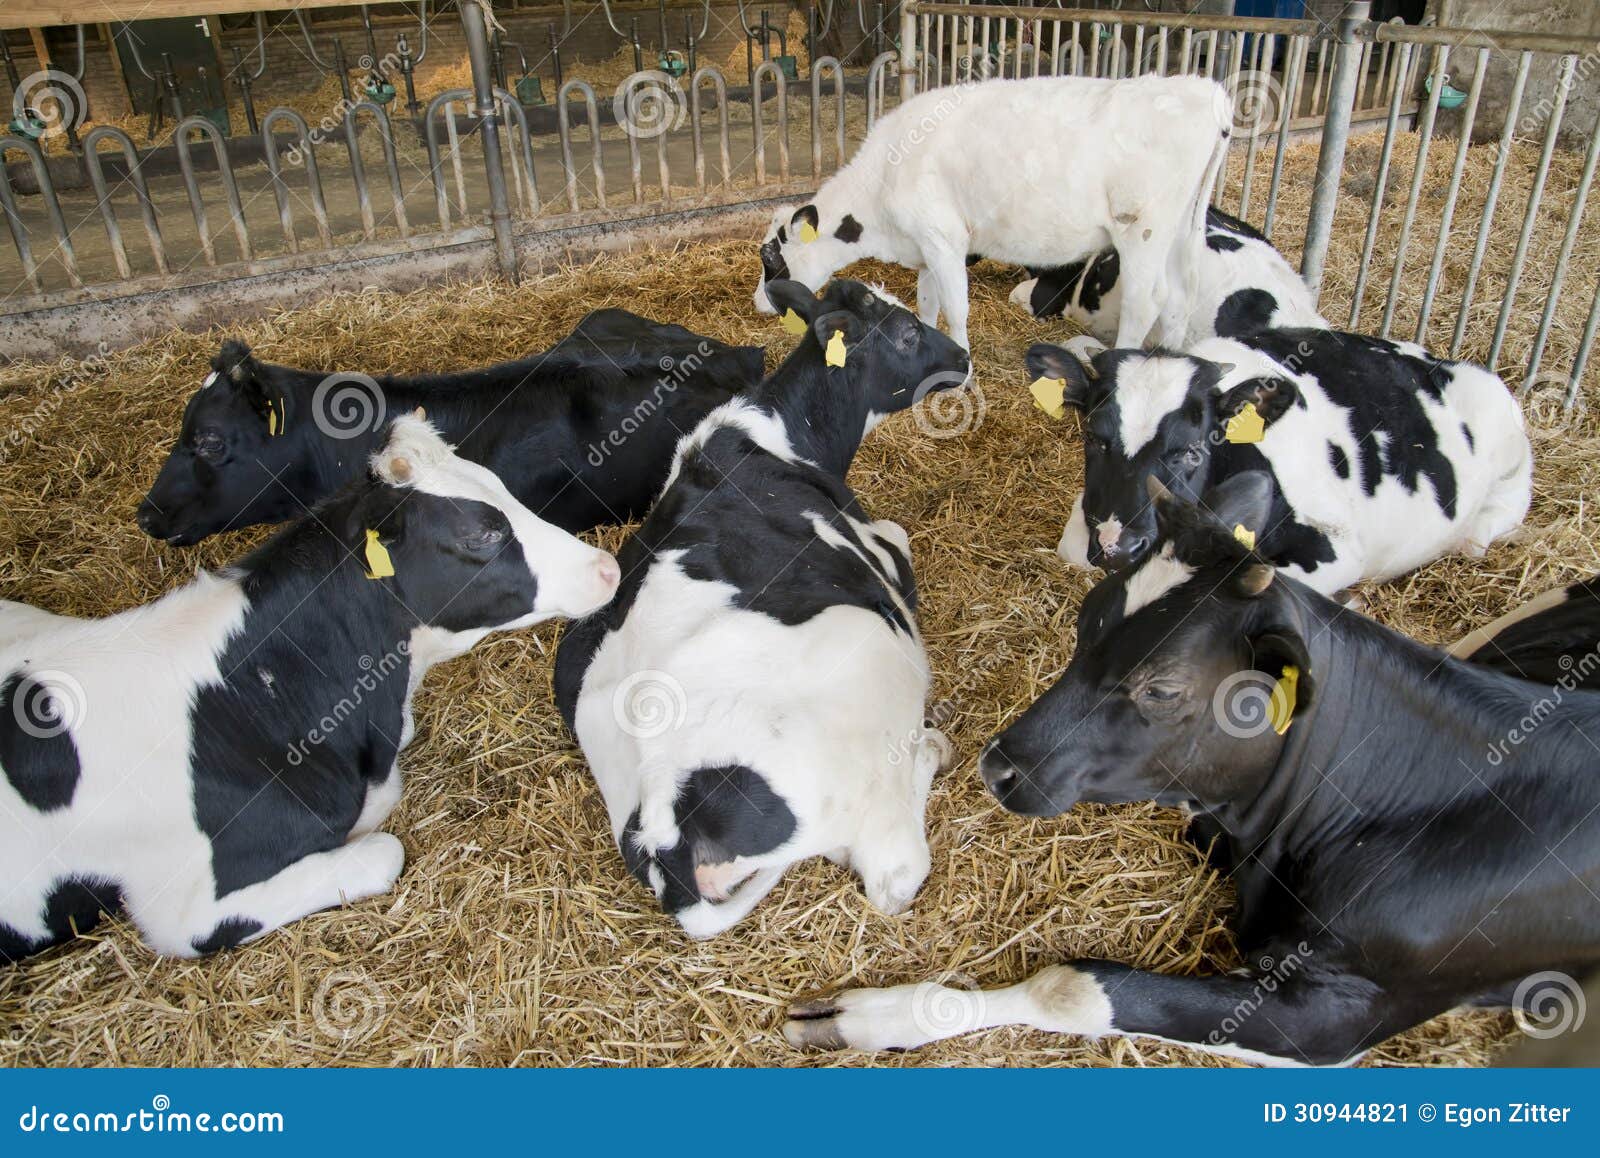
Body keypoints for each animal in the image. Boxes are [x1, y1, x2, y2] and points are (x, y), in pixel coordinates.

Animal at [554, 279, 971, 939]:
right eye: (907, 333)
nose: (962, 356)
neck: (777, 440)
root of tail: (661, 827)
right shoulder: (880, 550)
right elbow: (899, 538)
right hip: (868, 659)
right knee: (895, 874)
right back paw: (931, 750)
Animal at [753, 75, 1231, 350]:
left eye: (771, 257)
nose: (758, 301)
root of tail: (1201, 87)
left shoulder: (944, 239)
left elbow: (955, 307)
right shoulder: (924, 246)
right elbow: (927, 302)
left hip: (1142, 231)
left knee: (1143, 304)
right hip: (1180, 229)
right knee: (1177, 301)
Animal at [784, 474, 1600, 1063]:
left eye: (1163, 688)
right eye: (1084, 624)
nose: (999, 766)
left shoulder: (1341, 1013)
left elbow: (1072, 988)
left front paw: (873, 1015)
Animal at [1028, 327, 1532, 595]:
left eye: (1191, 450)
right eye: (1093, 437)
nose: (1118, 545)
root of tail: (1441, 362)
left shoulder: (1337, 547)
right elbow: (1073, 550)